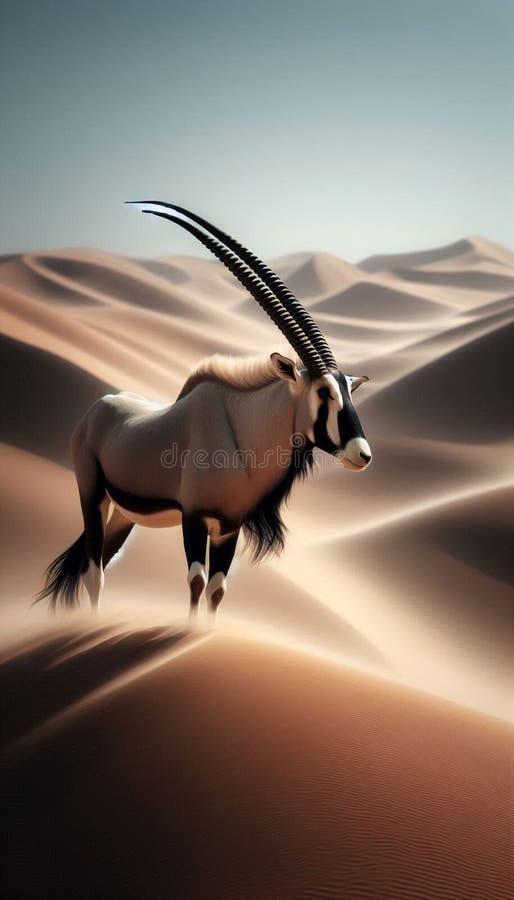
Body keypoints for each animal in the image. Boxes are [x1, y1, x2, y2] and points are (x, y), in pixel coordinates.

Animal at [37, 202, 372, 620]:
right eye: (323, 391)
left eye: (348, 390)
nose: (362, 453)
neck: (241, 433)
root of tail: (97, 408)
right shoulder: (193, 518)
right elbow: (196, 581)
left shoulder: (228, 528)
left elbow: (217, 589)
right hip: (92, 497)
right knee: (93, 571)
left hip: (123, 514)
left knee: (100, 564)